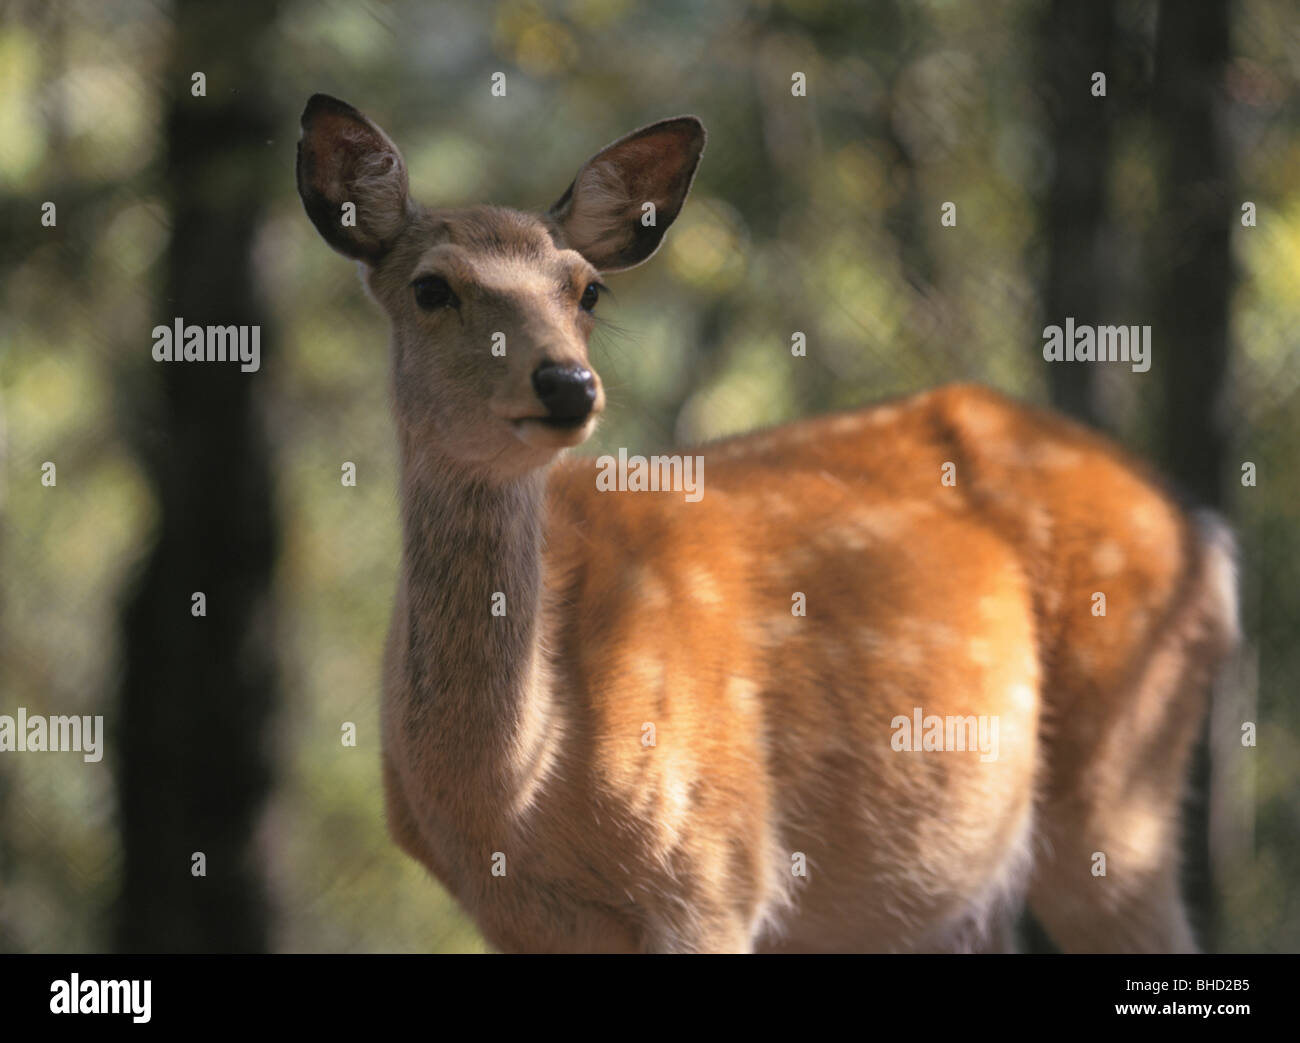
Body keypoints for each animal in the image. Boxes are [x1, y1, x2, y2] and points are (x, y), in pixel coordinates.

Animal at [296, 93, 1240, 953]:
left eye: (588, 288)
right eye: (431, 287)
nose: (567, 383)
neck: (516, 792)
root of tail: (1204, 529)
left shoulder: (718, 868)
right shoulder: (517, 922)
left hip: (1122, 789)